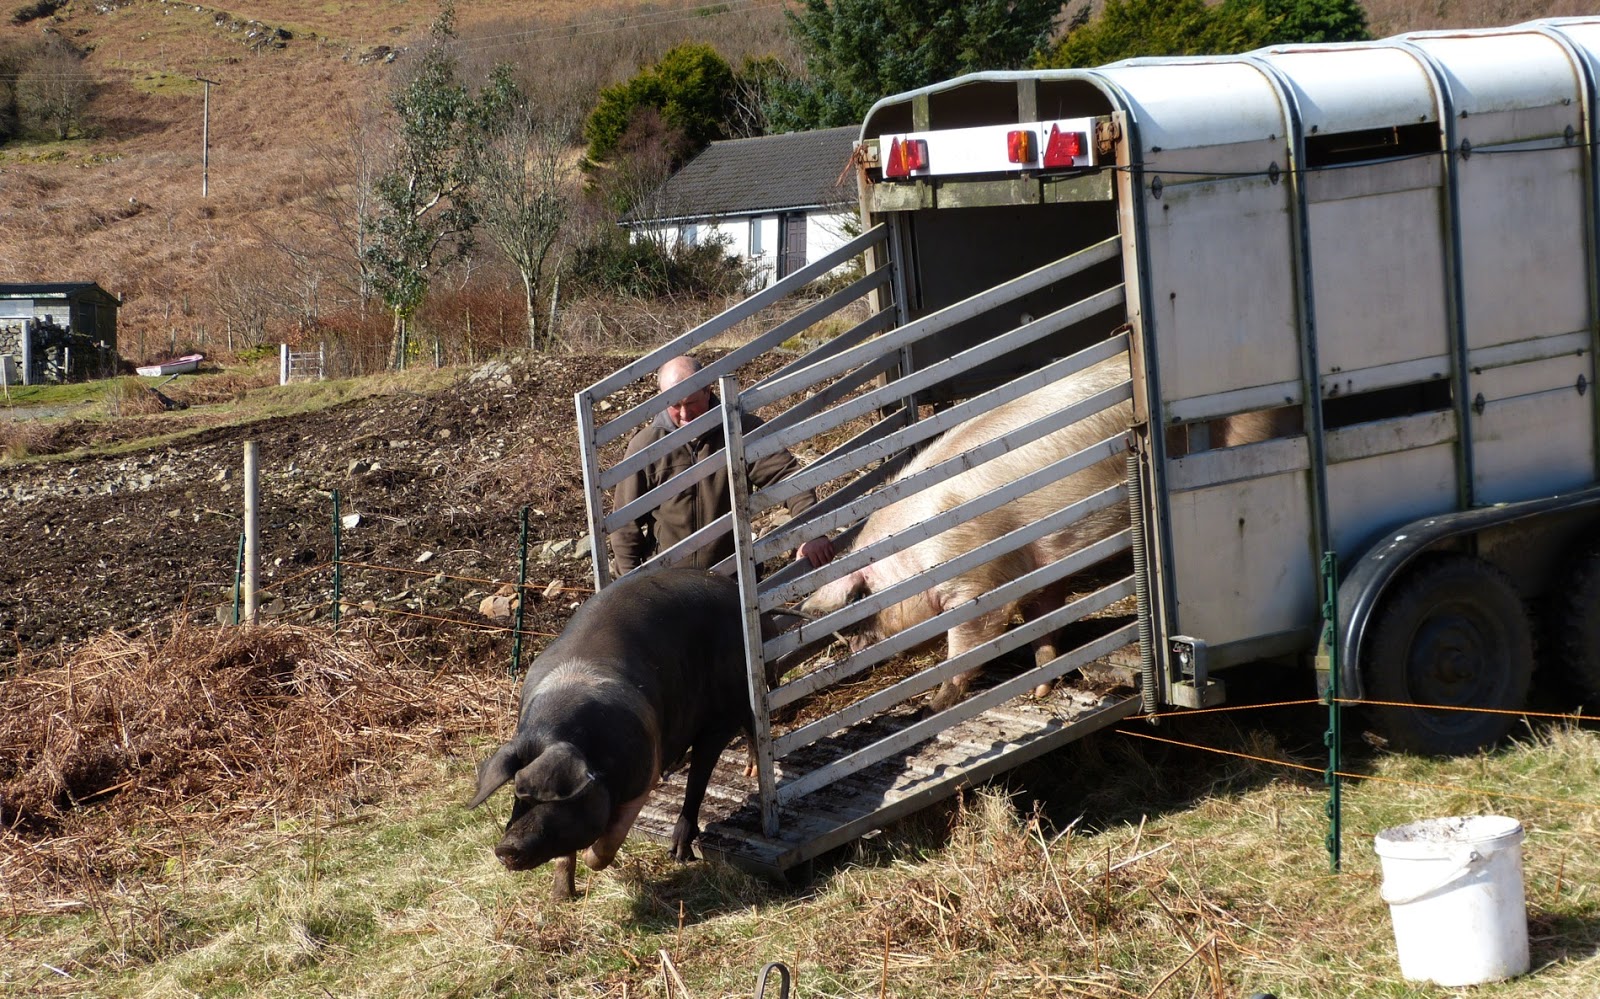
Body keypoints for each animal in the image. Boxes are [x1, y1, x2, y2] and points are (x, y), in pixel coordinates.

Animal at [468, 567, 761, 901]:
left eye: (552, 801)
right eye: (517, 797)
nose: (505, 848)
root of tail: (727, 586)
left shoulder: (643, 774)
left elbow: (606, 844)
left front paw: (591, 858)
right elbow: (564, 855)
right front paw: (560, 898)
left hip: (726, 705)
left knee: (711, 766)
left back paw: (686, 844)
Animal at [800, 357, 1135, 713]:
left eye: (863, 601)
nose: (854, 647)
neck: (913, 557)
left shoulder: (976, 584)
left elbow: (967, 647)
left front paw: (932, 707)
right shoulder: (1040, 565)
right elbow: (1044, 620)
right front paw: (1041, 687)